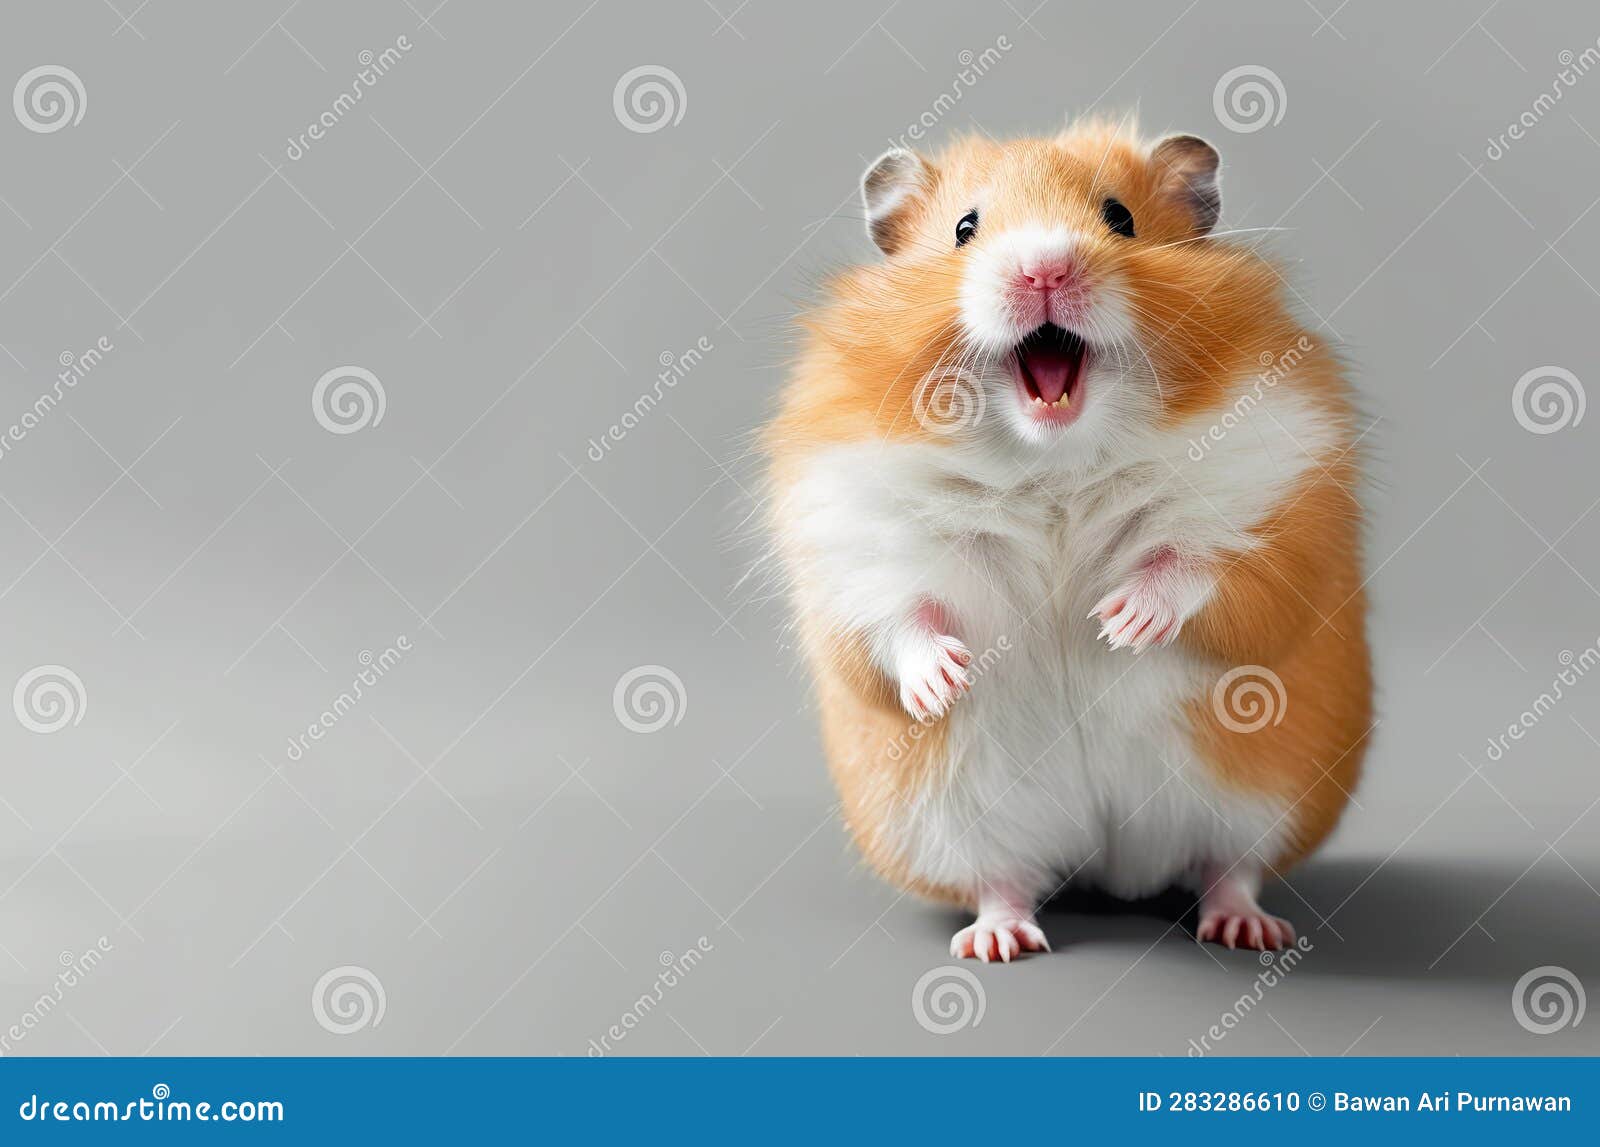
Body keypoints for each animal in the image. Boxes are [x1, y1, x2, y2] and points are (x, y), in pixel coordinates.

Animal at [763, 117, 1371, 961]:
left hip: (1266, 798)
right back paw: (998, 941)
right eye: (964, 228)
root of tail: (1112, 866)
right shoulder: (857, 545)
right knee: (1003, 878)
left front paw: (1118, 622)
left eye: (1120, 217)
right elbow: (899, 621)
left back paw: (1246, 929)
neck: (1050, 463)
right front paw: (946, 680)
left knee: (1230, 866)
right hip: (951, 824)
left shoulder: (1279, 505)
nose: (1044, 265)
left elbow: (1197, 565)